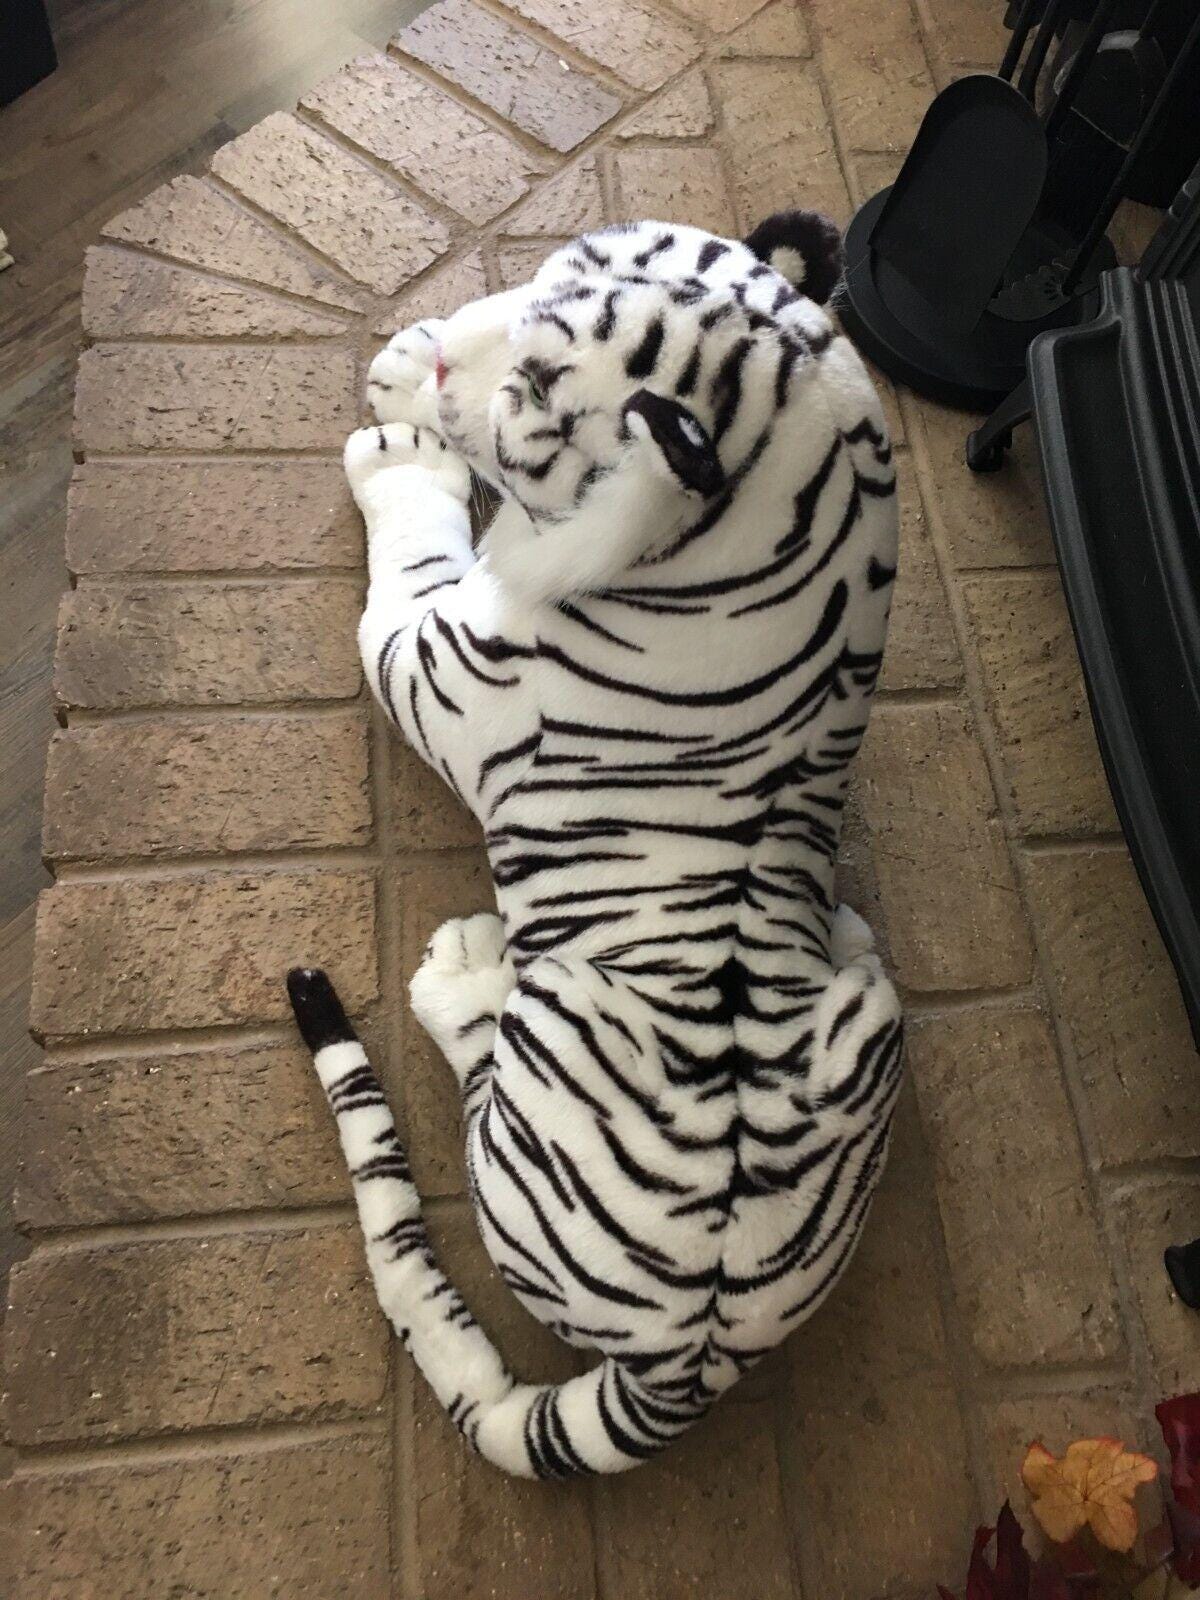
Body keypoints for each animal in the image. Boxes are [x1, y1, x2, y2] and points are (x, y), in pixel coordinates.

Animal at [286, 209, 903, 1480]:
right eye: (541, 272)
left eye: (535, 387)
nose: (433, 355)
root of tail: (694, 1361)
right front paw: (409, 367)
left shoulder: (442, 669)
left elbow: (413, 555)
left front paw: (399, 442)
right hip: (873, 1021)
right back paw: (849, 932)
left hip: (559, 1026)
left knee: (474, 1078)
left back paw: (463, 971)